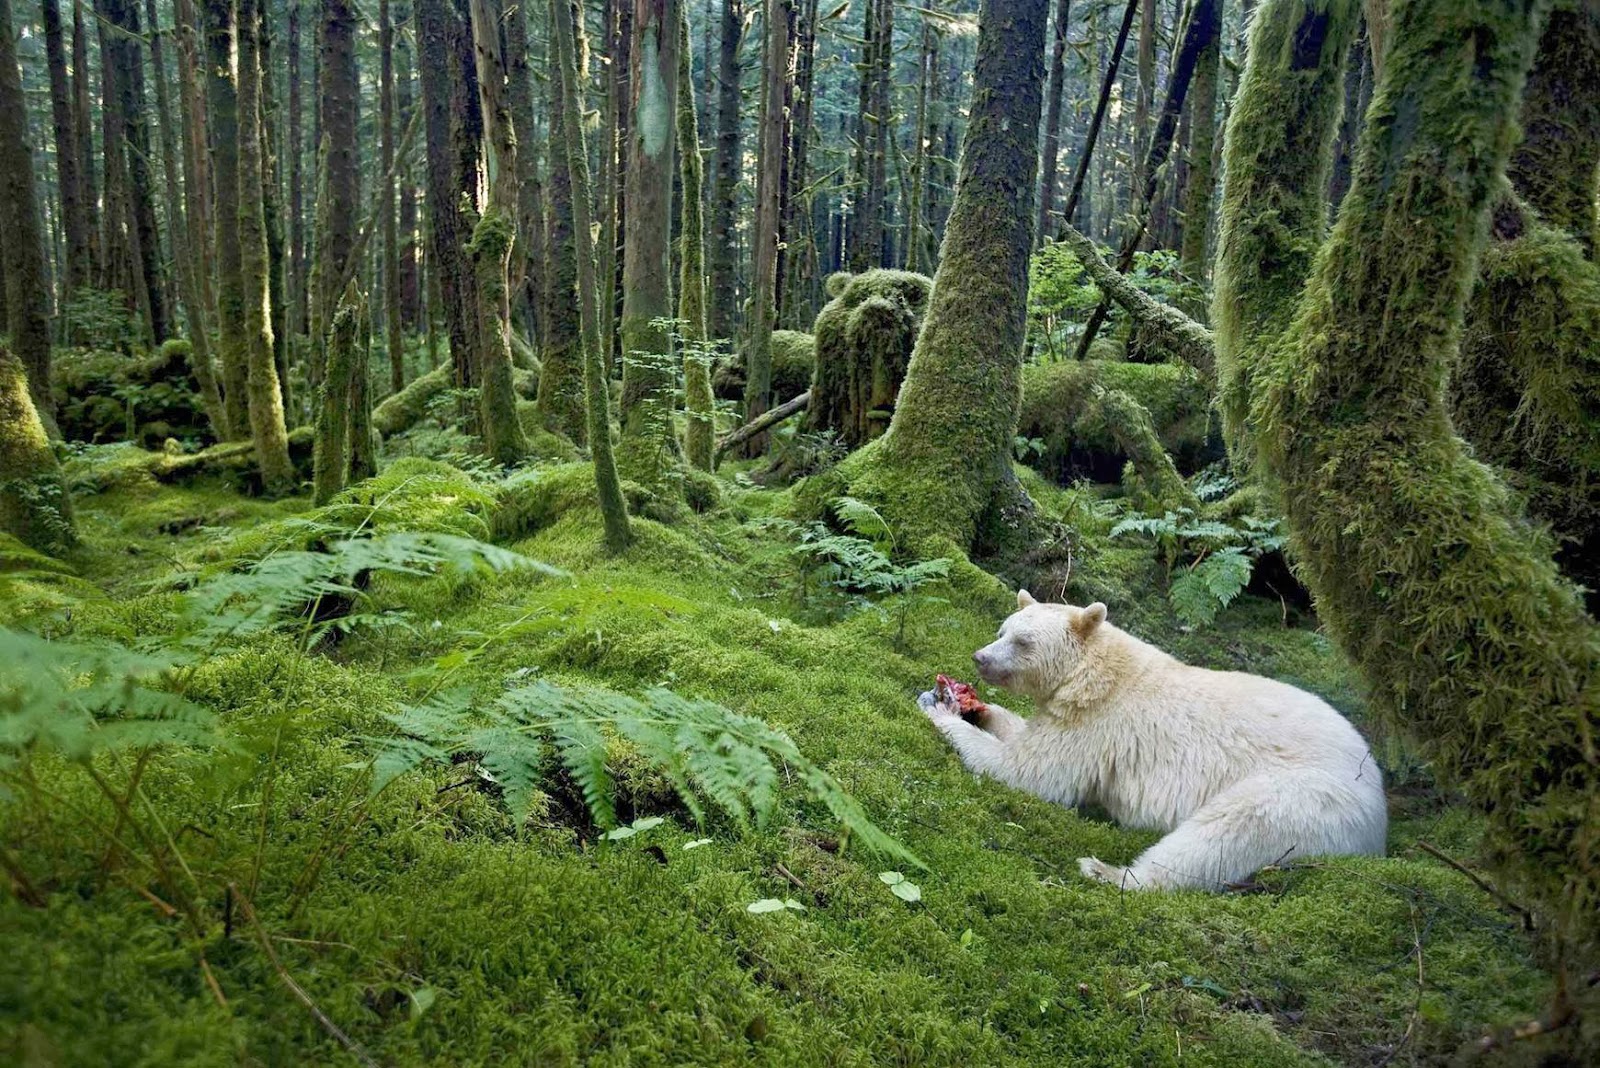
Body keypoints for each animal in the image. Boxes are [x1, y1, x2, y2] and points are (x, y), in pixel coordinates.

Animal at [918, 590, 1387, 890]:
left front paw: (941, 711)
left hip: (1306, 797)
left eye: (1022, 641)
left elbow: (1034, 772)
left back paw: (1108, 872)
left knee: (1226, 833)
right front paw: (977, 708)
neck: (1095, 672)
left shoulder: (1098, 724)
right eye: (1002, 629)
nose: (980, 657)